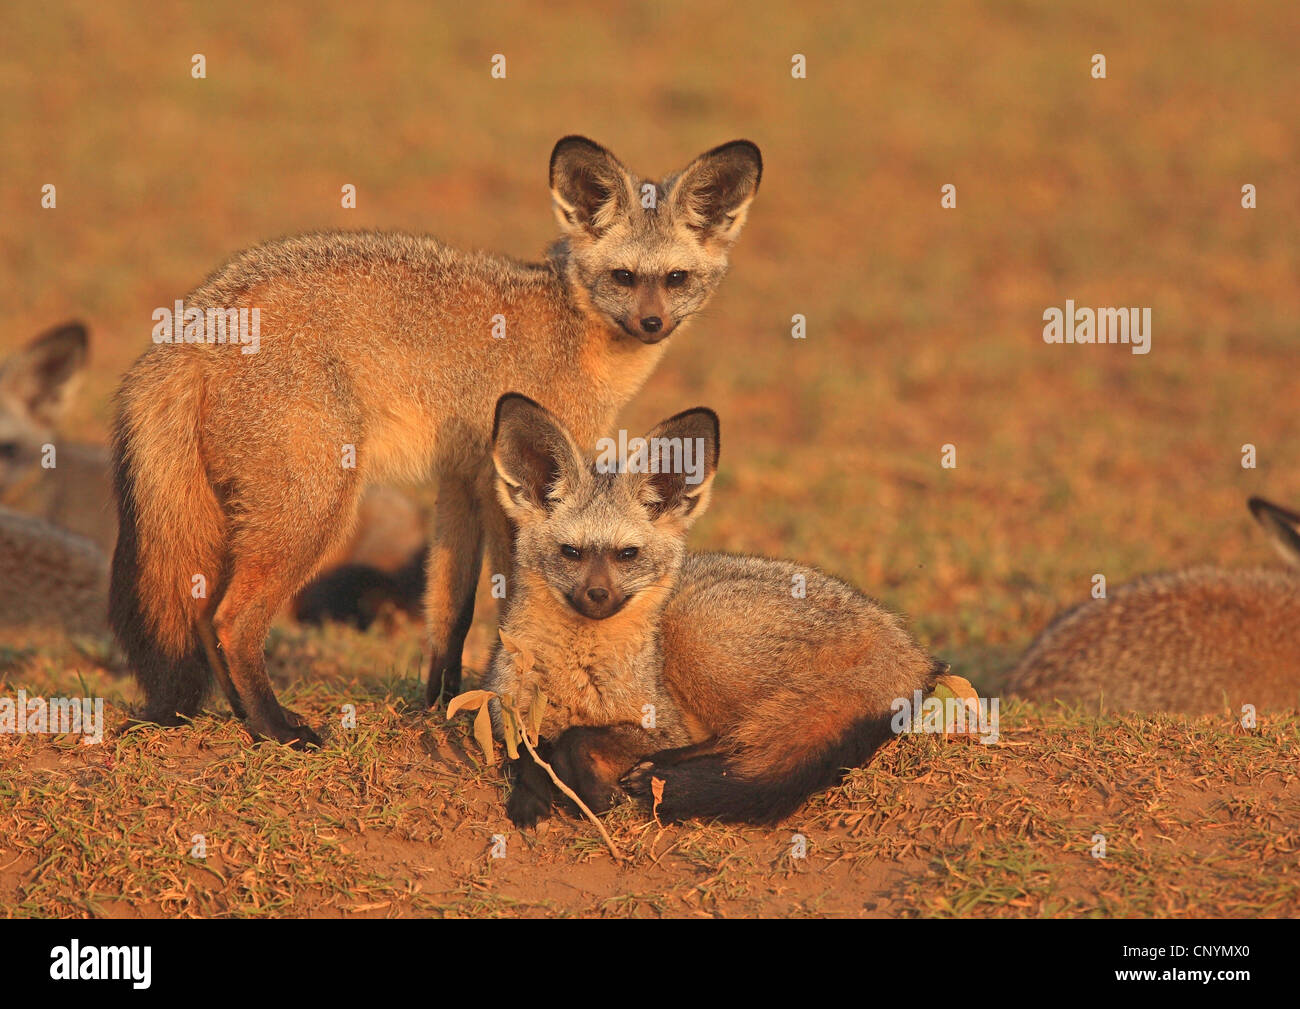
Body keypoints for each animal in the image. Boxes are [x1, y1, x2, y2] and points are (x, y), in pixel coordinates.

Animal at [109, 136, 763, 747]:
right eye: (624, 277)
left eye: (675, 279)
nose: (653, 324)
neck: (573, 330)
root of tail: (197, 319)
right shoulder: (515, 490)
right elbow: (511, 601)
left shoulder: (462, 481)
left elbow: (451, 610)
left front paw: (439, 704)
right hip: (316, 511)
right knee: (230, 621)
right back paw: (277, 728)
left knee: (201, 617)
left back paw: (246, 718)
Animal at [481, 394, 942, 826]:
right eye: (571, 552)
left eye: (627, 554)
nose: (597, 595)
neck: (579, 679)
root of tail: (906, 646)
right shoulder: (506, 713)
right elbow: (530, 752)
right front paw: (531, 798)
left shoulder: (663, 725)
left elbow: (576, 740)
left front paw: (593, 792)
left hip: (693, 630)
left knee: (734, 738)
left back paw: (657, 775)